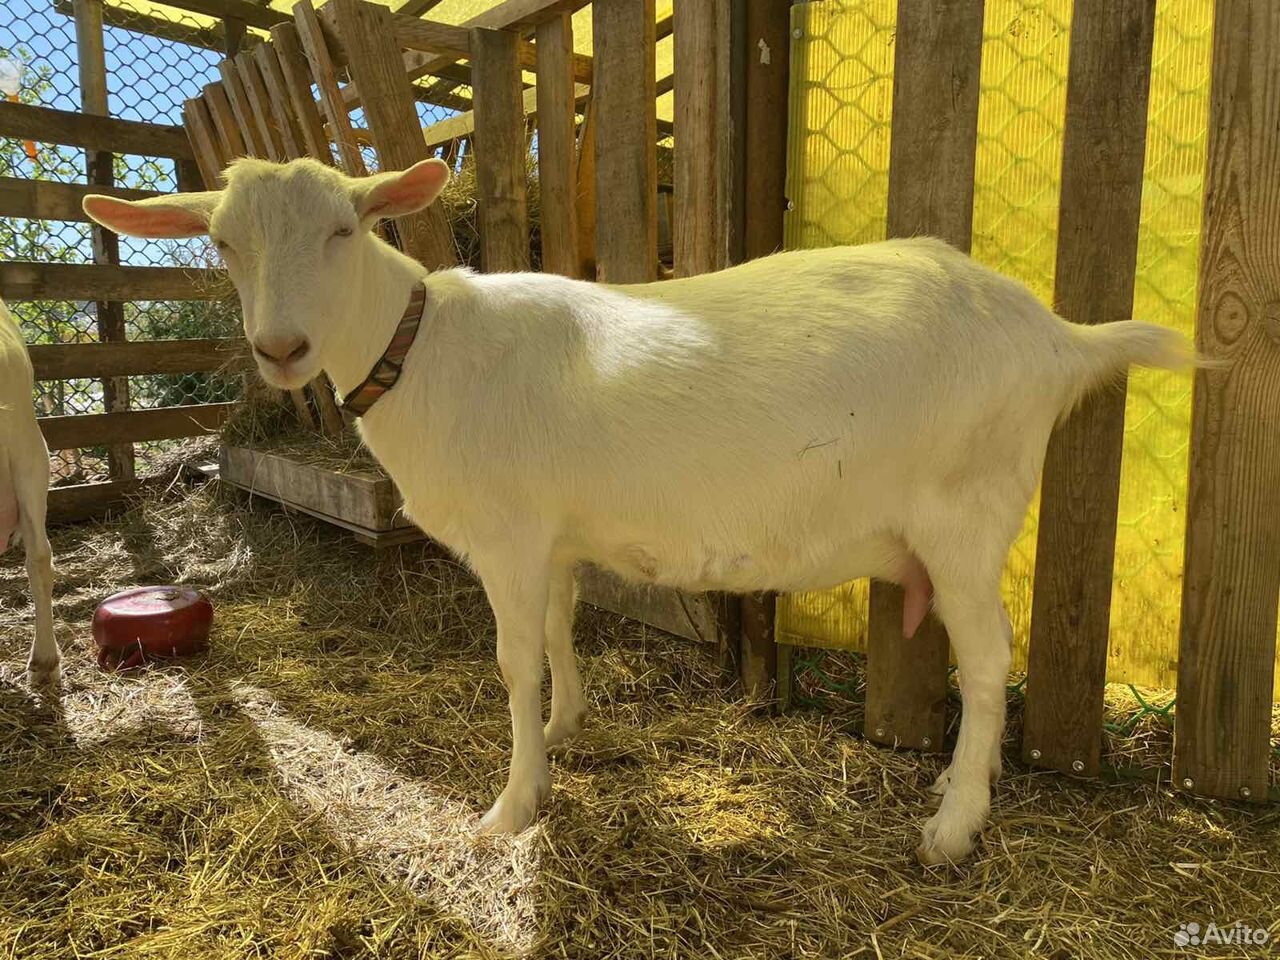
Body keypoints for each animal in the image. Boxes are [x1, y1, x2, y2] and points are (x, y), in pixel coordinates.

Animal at [84, 157, 1192, 864]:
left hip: (967, 512)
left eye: (343, 229)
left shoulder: (509, 536)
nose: (279, 350)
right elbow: (561, 632)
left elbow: (513, 659)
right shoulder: (554, 537)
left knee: (990, 659)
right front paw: (567, 728)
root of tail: (1055, 336)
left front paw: (511, 807)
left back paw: (953, 827)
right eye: (222, 243)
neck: (426, 352)